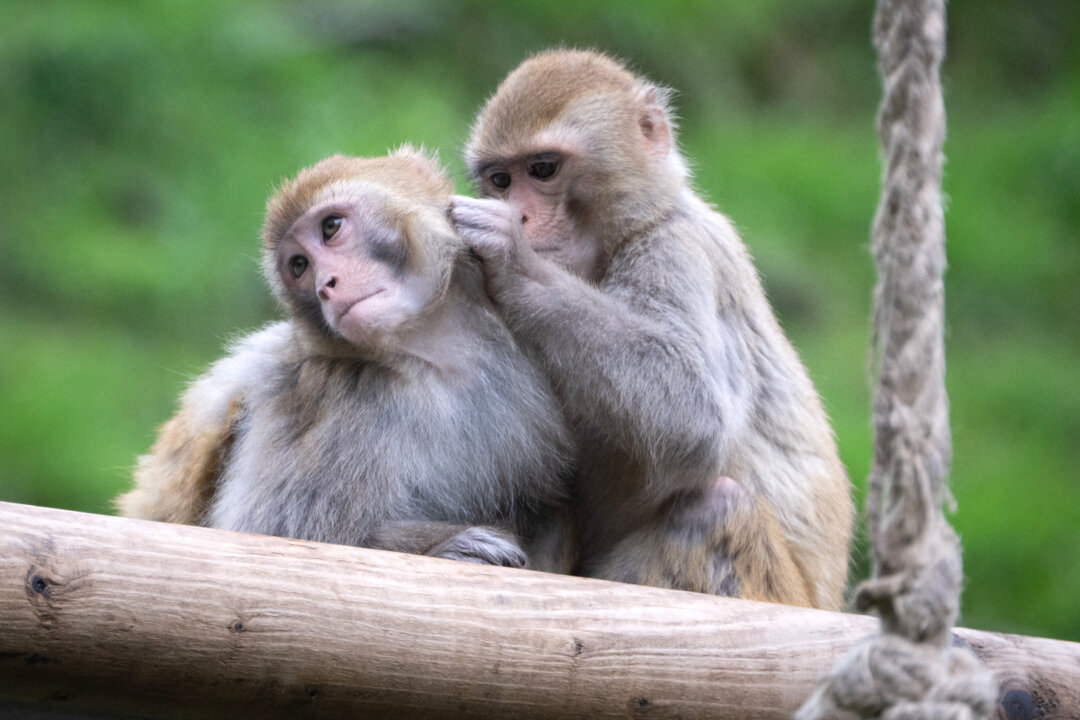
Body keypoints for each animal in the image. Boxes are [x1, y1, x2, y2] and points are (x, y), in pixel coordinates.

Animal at [116, 150, 574, 568]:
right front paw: (453, 546)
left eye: (331, 227)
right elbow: (273, 534)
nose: (325, 284)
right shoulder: (336, 393)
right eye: (299, 266)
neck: (432, 353)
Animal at [451, 49, 853, 608]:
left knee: (714, 510)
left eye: (543, 169)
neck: (625, 234)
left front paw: (514, 262)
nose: (520, 216)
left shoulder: (674, 253)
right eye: (501, 180)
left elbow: (695, 414)